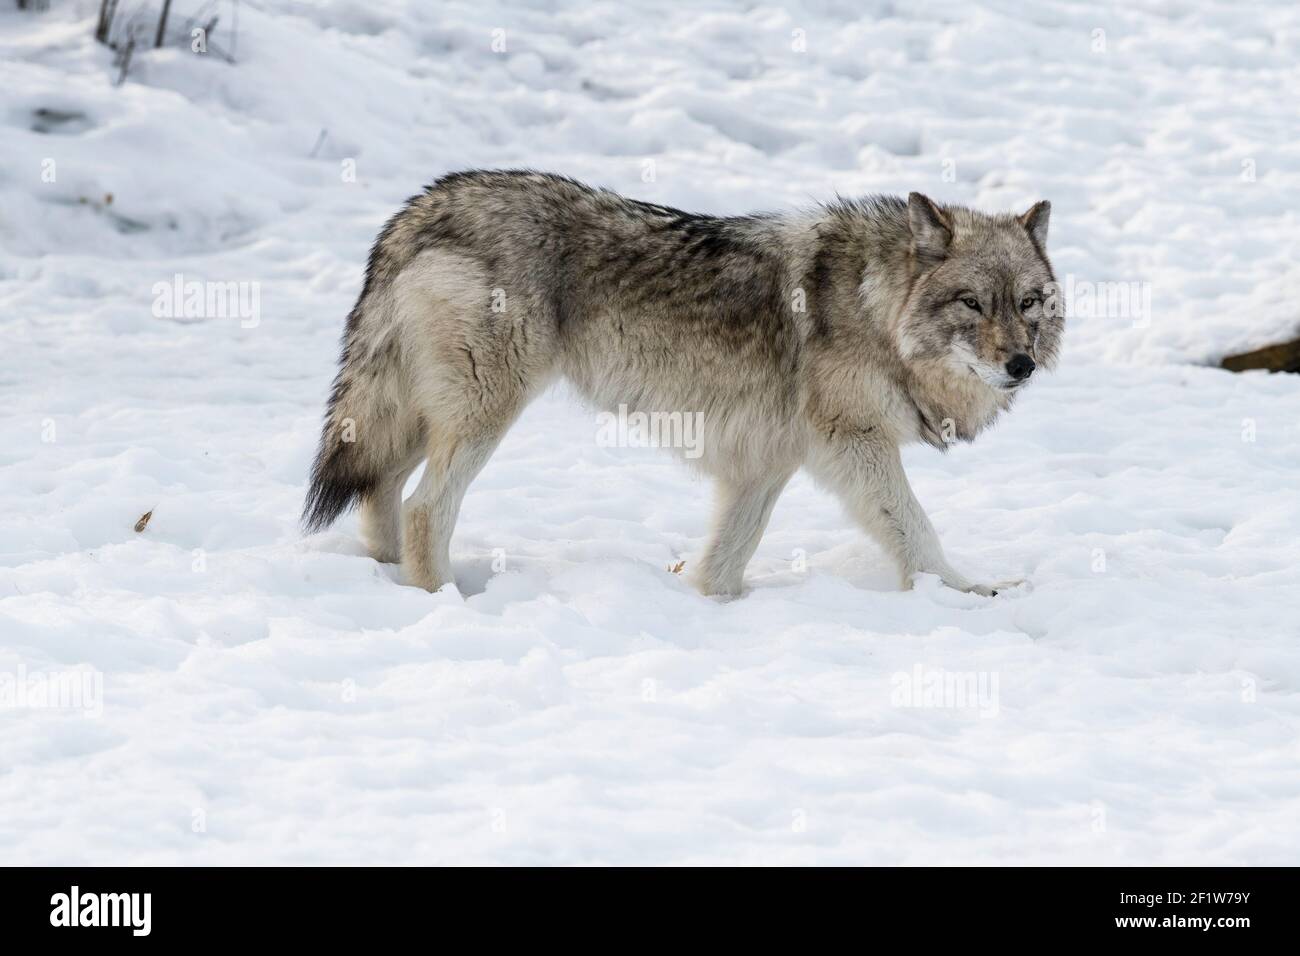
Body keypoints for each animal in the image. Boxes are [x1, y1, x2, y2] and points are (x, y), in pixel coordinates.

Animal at [304, 170, 1060, 597]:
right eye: (972, 303)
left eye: (1027, 302)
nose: (1021, 364)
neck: (878, 308)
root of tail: (424, 205)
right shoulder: (855, 445)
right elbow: (916, 527)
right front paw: (966, 592)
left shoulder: (765, 465)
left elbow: (724, 561)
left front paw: (712, 604)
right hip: (483, 412)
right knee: (426, 507)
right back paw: (443, 602)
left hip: (414, 418)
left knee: (378, 490)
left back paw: (389, 579)